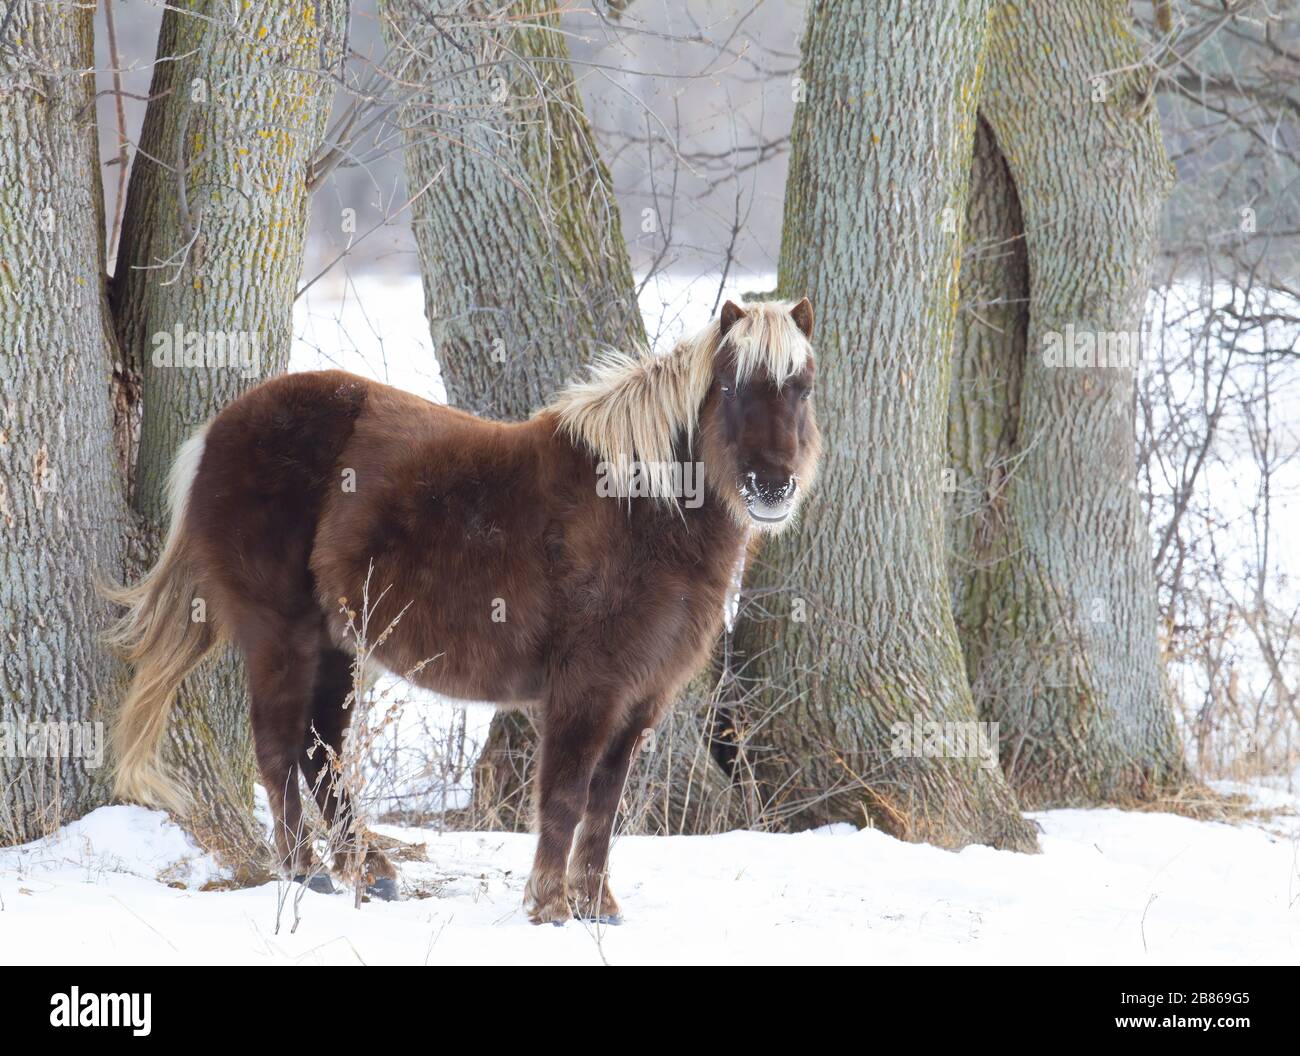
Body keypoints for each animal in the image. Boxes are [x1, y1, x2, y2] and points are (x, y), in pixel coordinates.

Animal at [105, 297, 821, 924]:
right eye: (729, 387)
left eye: (803, 389)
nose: (772, 487)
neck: (640, 508)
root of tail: (218, 432)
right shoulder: (588, 689)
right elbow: (565, 798)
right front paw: (549, 908)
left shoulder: (641, 698)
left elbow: (605, 805)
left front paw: (598, 906)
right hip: (281, 636)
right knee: (279, 746)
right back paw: (305, 870)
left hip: (338, 645)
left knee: (319, 749)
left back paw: (369, 870)